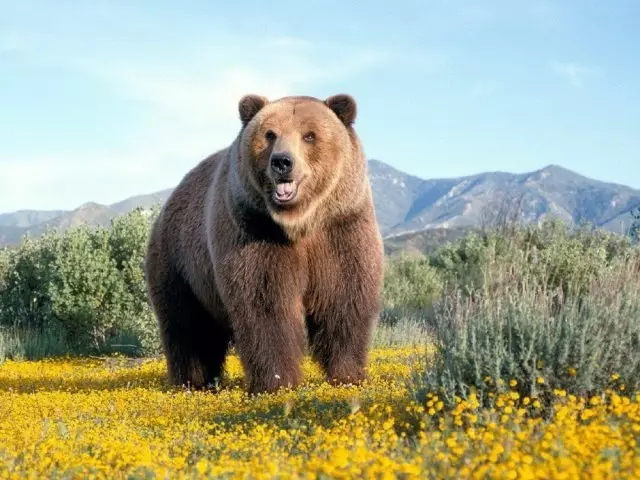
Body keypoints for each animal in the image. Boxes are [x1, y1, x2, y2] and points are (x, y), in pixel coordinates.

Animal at [144, 93, 384, 394]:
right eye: (270, 134)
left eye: (309, 135)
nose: (282, 162)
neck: (300, 223)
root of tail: (169, 202)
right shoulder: (255, 231)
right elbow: (266, 305)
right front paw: (276, 382)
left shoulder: (341, 228)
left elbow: (343, 297)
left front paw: (348, 375)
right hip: (180, 263)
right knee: (187, 326)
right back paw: (193, 381)